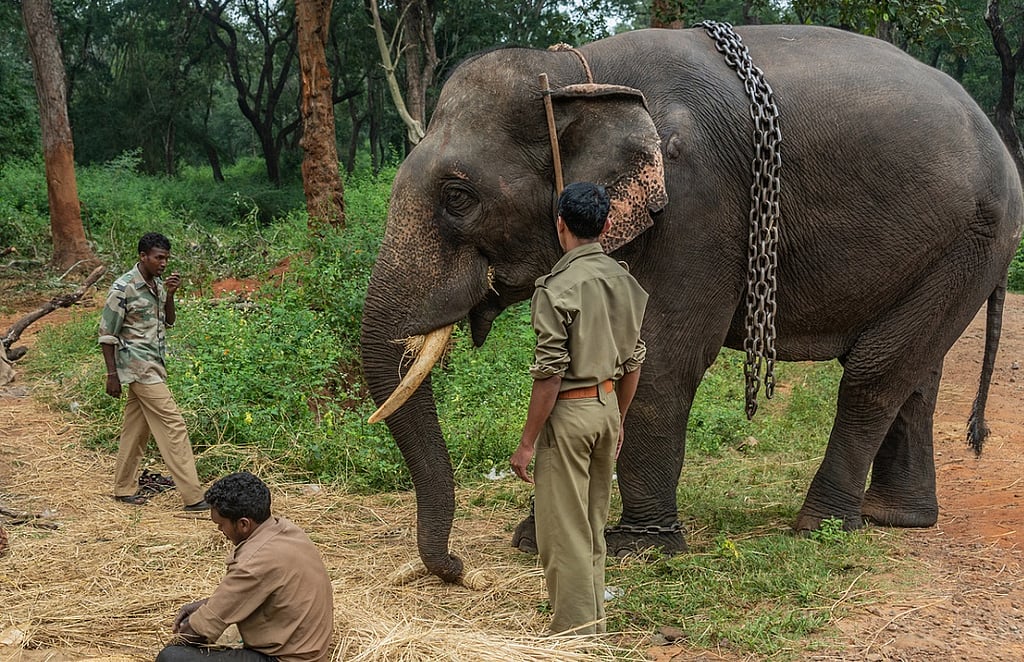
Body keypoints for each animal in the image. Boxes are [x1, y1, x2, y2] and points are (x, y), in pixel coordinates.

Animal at [359, 24, 1024, 583]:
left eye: (457, 197)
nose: (456, 568)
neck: (581, 75)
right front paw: (535, 536)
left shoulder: (697, 202)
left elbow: (658, 362)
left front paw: (637, 549)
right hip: (955, 249)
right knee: (916, 373)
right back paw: (895, 518)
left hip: (977, 236)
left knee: (874, 375)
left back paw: (820, 527)